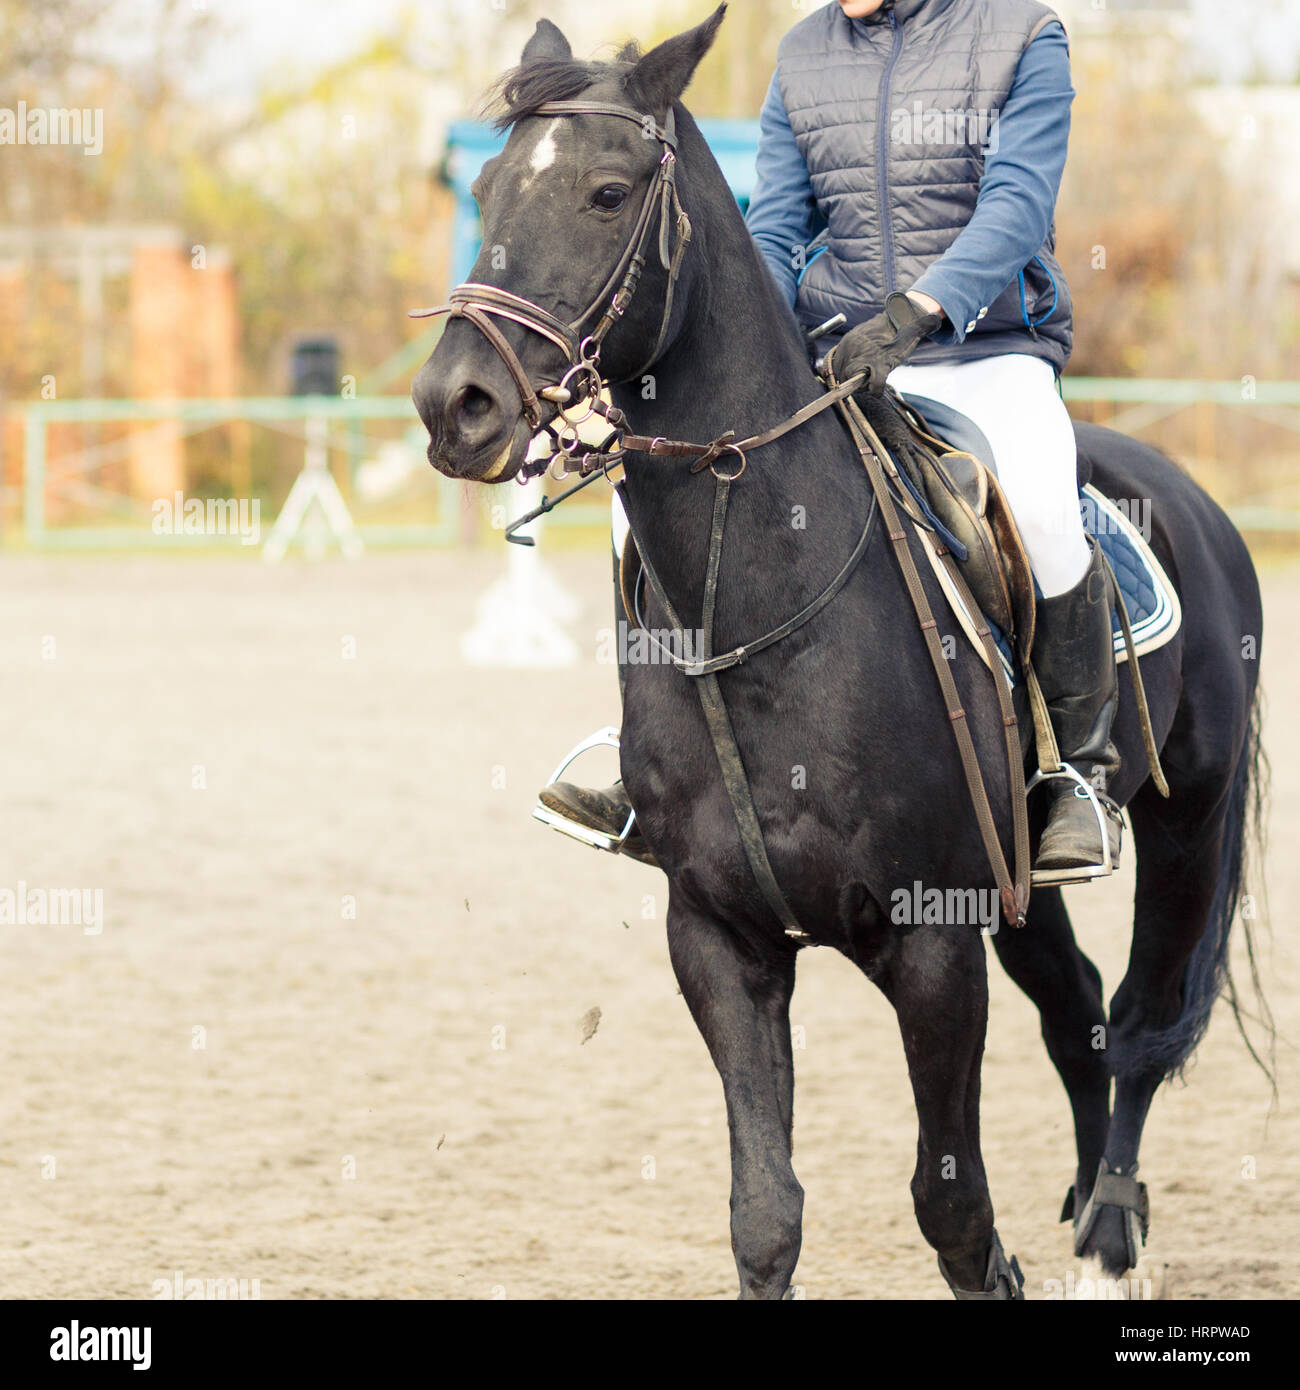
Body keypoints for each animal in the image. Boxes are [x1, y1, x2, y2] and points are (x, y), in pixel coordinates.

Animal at [411, 7, 1266, 1299]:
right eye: (487, 189)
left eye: (607, 194)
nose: (452, 404)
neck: (772, 604)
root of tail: (1193, 502)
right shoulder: (721, 939)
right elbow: (765, 1214)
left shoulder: (929, 938)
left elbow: (952, 1213)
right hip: (1021, 887)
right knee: (1079, 1019)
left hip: (1184, 827)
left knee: (1138, 1028)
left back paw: (1108, 1242)